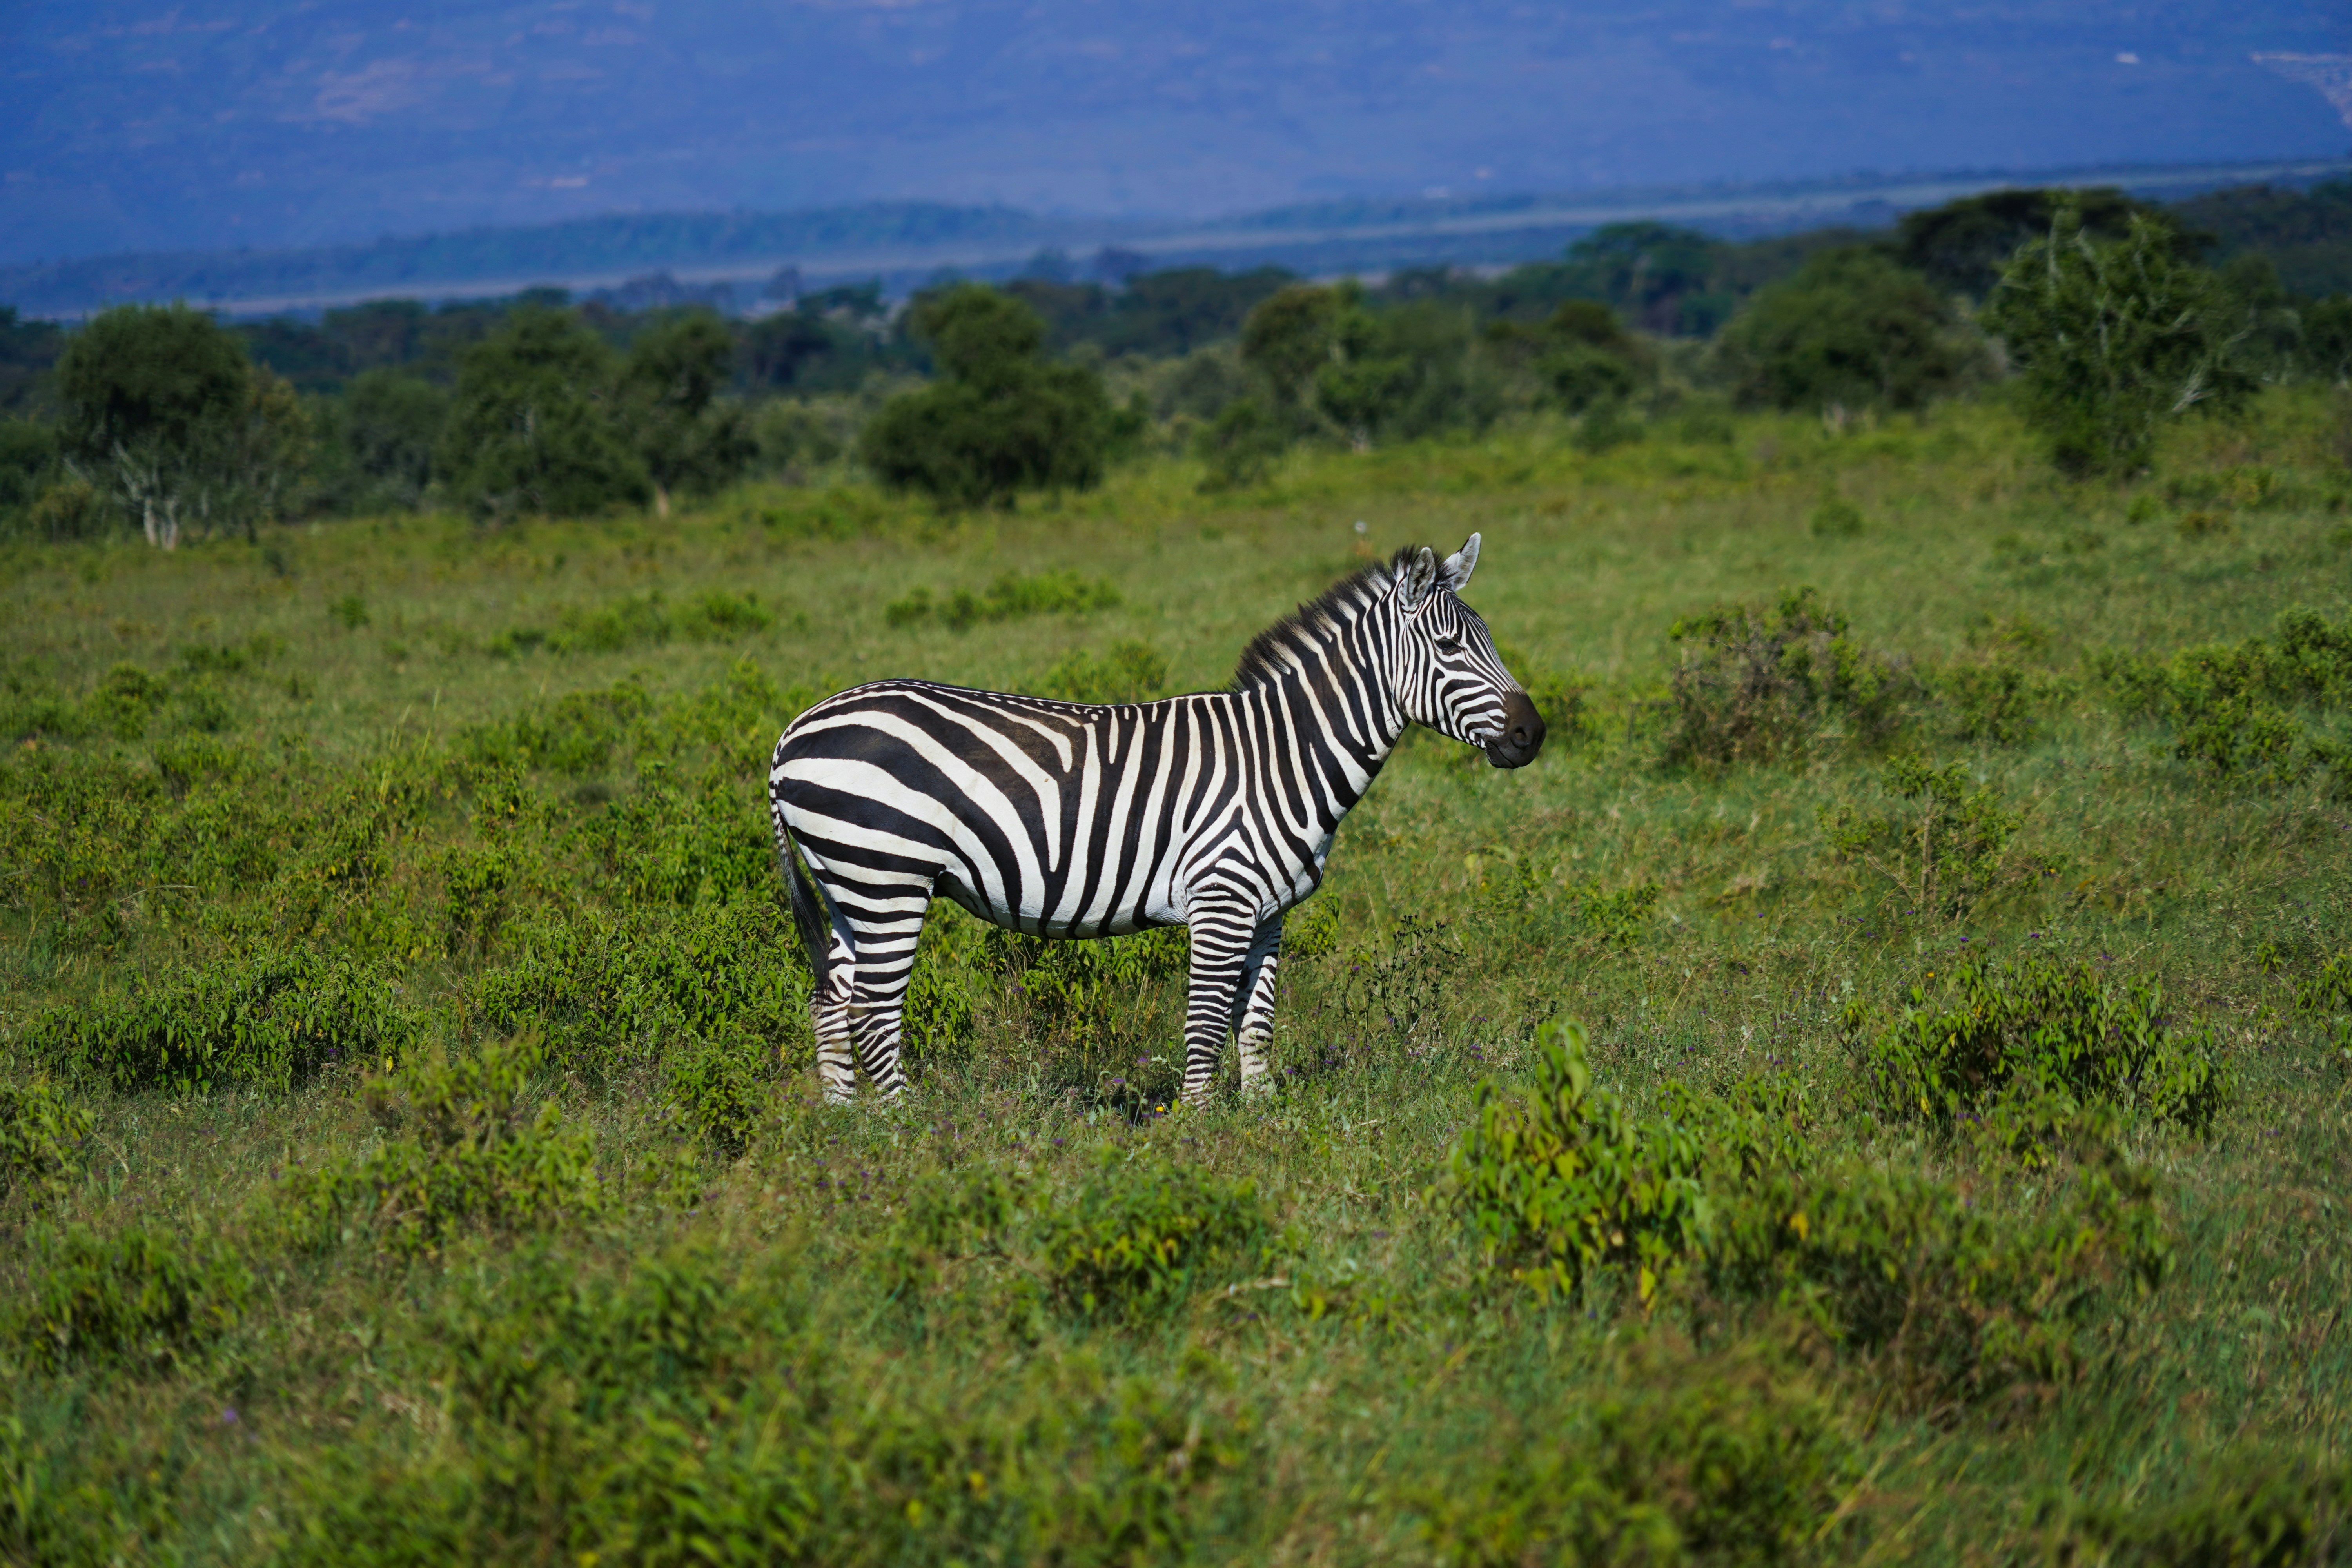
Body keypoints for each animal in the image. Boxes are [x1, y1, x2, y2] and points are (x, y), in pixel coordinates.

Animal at [767, 533, 1545, 1105]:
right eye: (1450, 647)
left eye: (1488, 638)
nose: (1532, 735)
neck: (1283, 754)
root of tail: (792, 731)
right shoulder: (1220, 900)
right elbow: (1205, 1024)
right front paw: (1200, 1135)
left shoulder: (1268, 911)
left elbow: (1256, 1025)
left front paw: (1265, 1125)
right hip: (887, 877)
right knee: (873, 1011)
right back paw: (907, 1135)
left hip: (851, 888)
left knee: (831, 1000)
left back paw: (851, 1132)